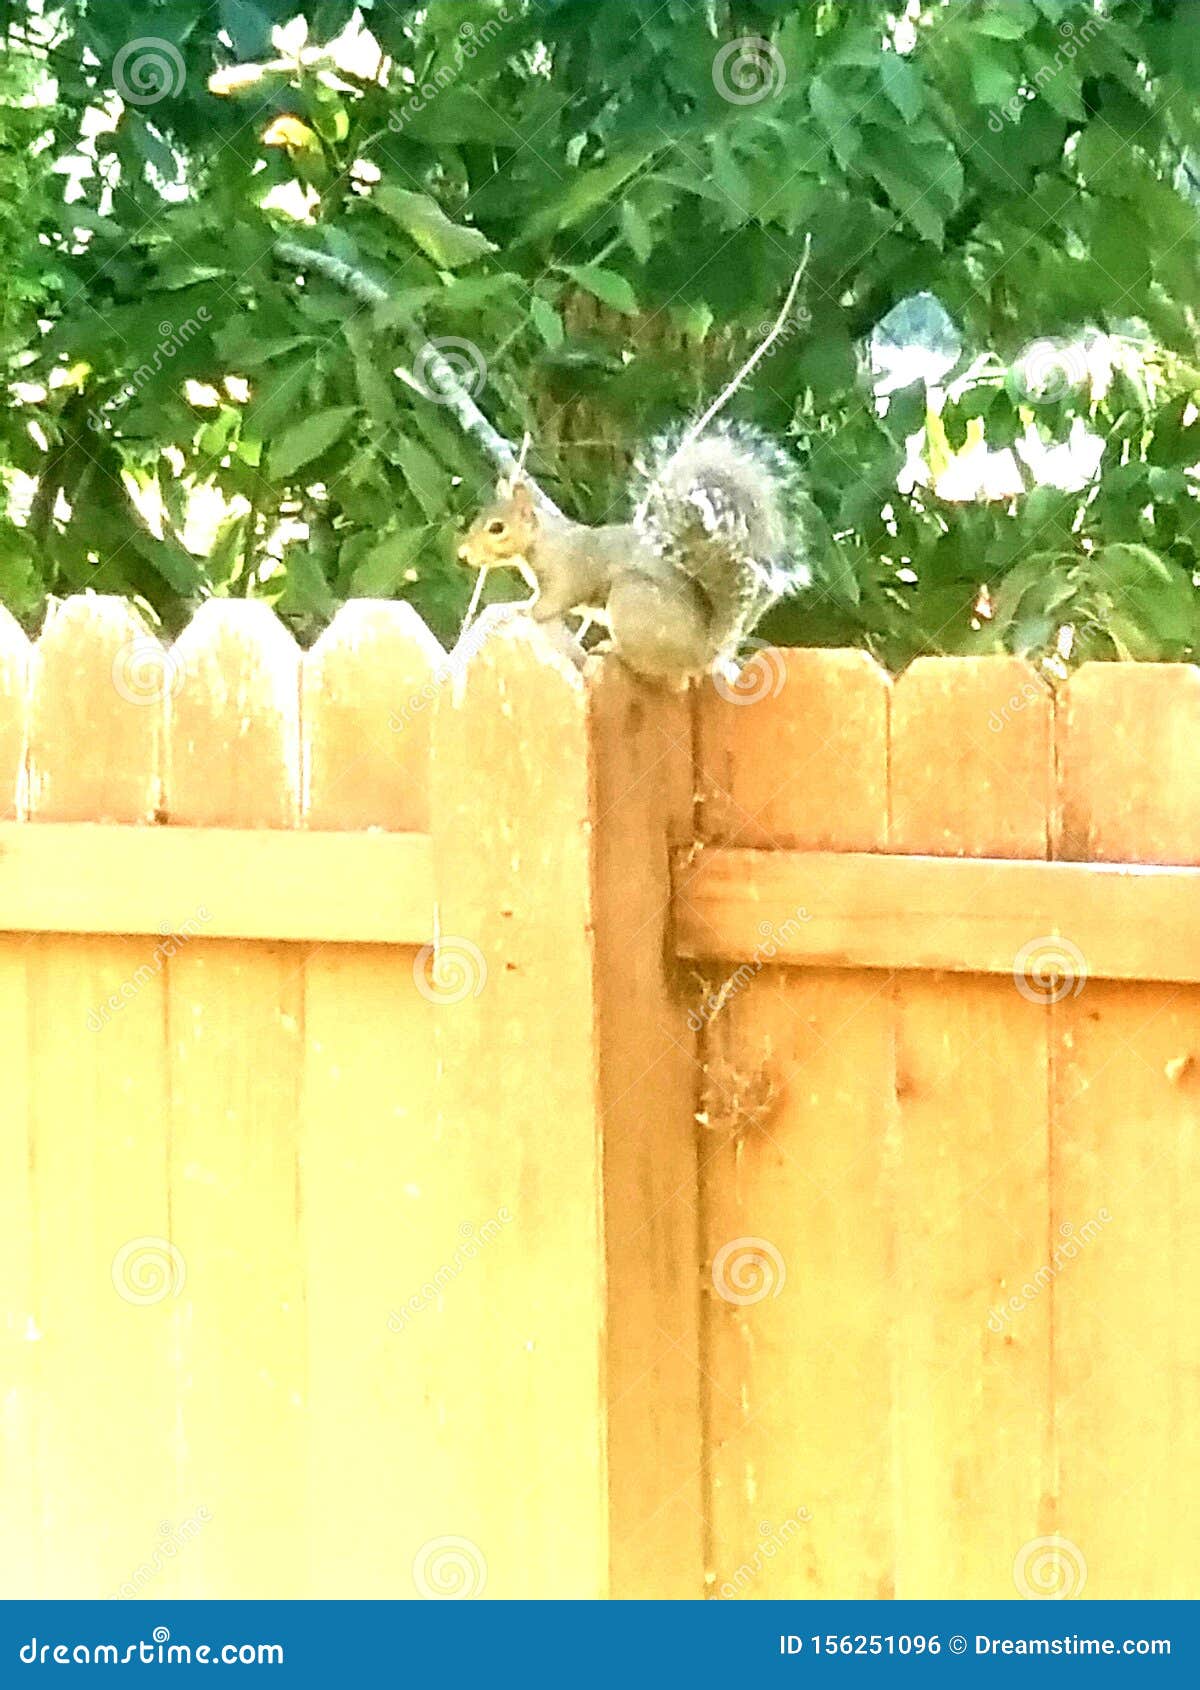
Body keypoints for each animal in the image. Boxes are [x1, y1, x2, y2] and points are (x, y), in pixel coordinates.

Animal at [457, 420, 812, 685]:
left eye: (497, 528)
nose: (463, 554)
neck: (543, 540)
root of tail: (705, 652)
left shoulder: (566, 574)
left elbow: (548, 605)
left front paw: (517, 610)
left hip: (631, 599)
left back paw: (609, 649)